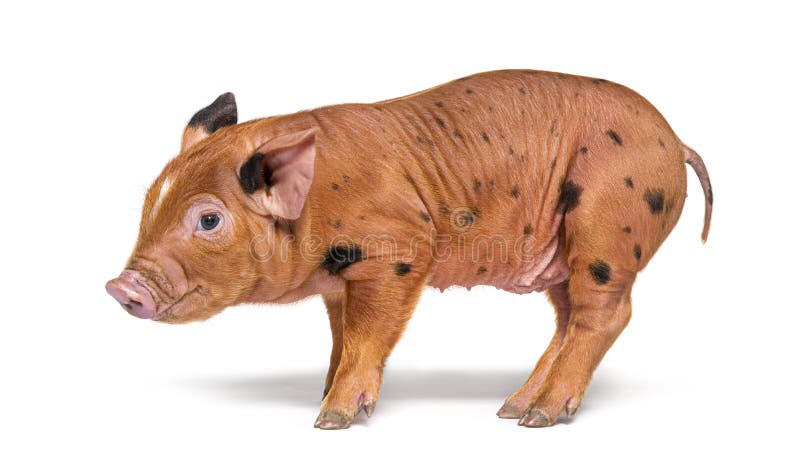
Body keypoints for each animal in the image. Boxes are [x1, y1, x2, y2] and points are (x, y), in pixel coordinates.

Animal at [106, 70, 713, 429]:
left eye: (208, 219)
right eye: (150, 201)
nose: (119, 286)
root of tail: (675, 140)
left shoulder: (399, 249)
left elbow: (368, 336)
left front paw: (330, 420)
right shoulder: (339, 281)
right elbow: (342, 335)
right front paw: (321, 393)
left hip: (607, 233)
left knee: (606, 315)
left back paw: (539, 418)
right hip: (561, 256)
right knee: (567, 320)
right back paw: (510, 409)